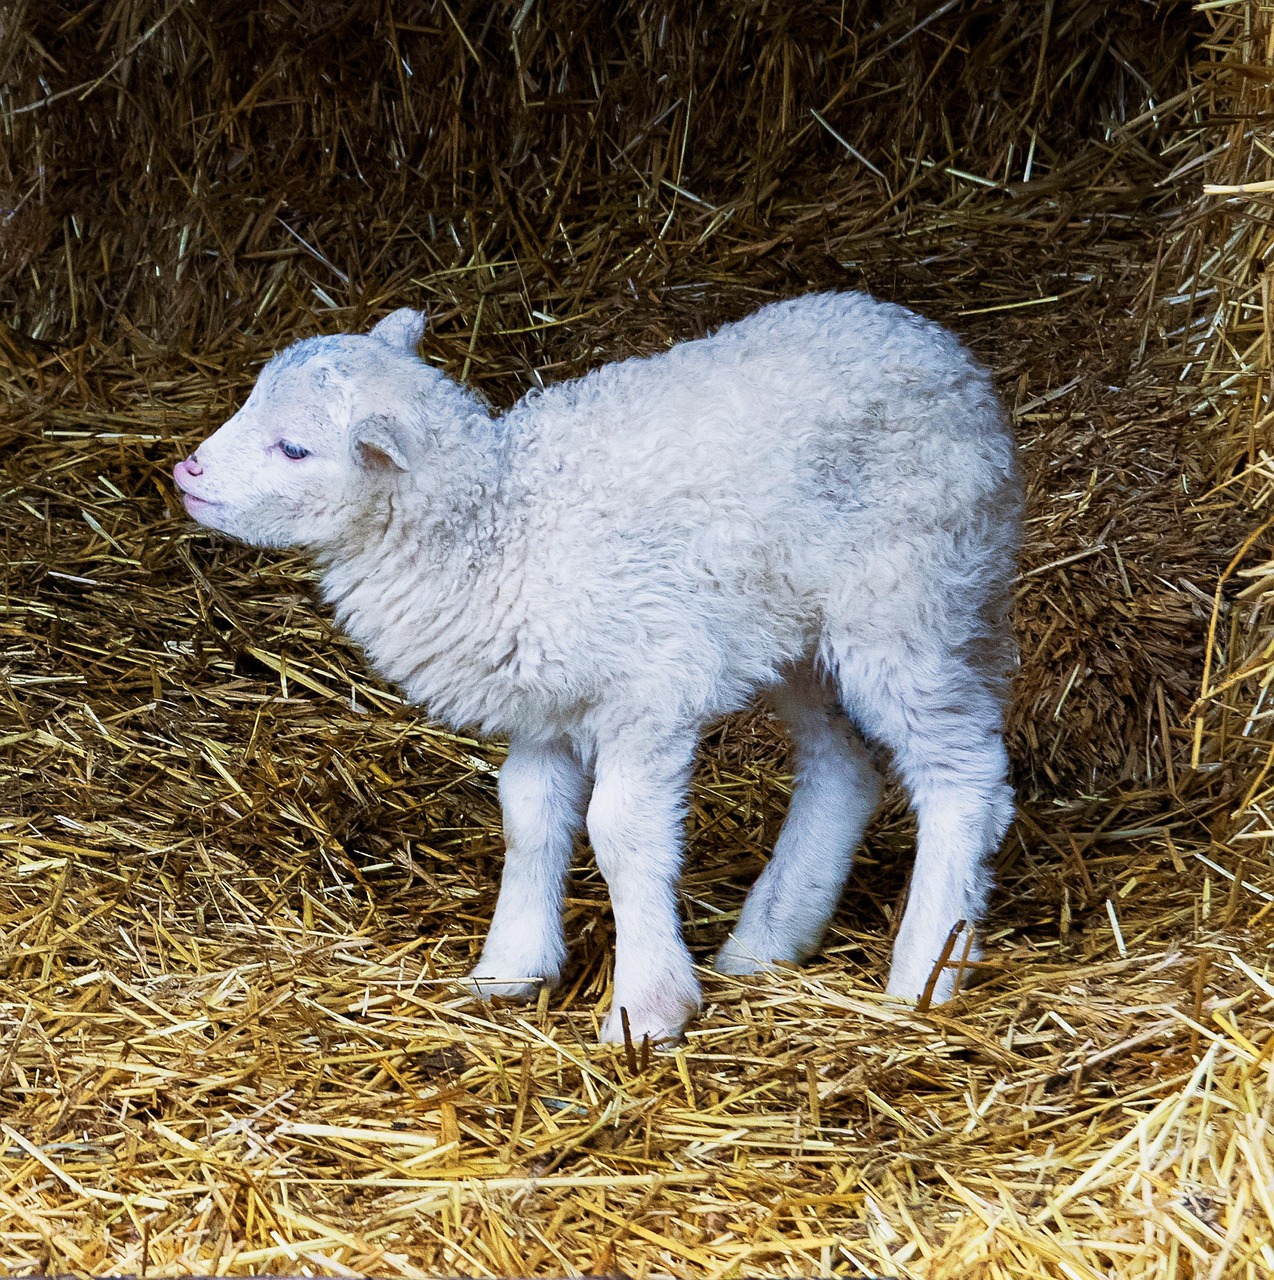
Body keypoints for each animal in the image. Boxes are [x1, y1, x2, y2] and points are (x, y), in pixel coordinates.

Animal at [174, 291, 1022, 1045]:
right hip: (799, 633)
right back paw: (769, 940)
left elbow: (618, 834)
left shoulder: (648, 693)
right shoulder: (544, 705)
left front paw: (648, 1008)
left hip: (907, 601)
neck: (503, 524)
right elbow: (527, 818)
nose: (187, 473)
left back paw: (926, 970)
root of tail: (935, 344)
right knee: (843, 768)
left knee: (962, 773)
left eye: (294, 449)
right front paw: (509, 966)